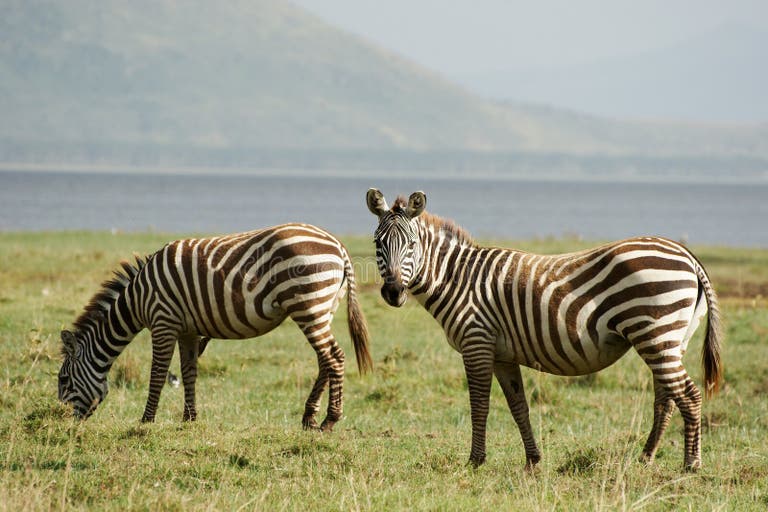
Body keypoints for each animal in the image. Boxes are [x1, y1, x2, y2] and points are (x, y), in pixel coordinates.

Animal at [58, 223, 373, 431]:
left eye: (63, 379)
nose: (62, 419)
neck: (138, 298)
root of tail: (338, 245)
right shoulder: (186, 328)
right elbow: (188, 372)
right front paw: (189, 418)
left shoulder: (163, 321)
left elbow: (157, 373)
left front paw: (146, 421)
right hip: (323, 308)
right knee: (325, 360)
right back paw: (309, 418)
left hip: (308, 304)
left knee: (335, 357)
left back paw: (330, 420)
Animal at [366, 189, 723, 471]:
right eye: (378, 243)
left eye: (412, 244)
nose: (394, 292)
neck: (459, 278)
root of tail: (686, 254)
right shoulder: (502, 355)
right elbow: (518, 407)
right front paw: (533, 460)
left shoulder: (476, 342)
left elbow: (479, 404)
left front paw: (475, 461)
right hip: (670, 339)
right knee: (666, 397)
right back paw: (646, 457)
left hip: (656, 334)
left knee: (688, 395)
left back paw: (691, 464)